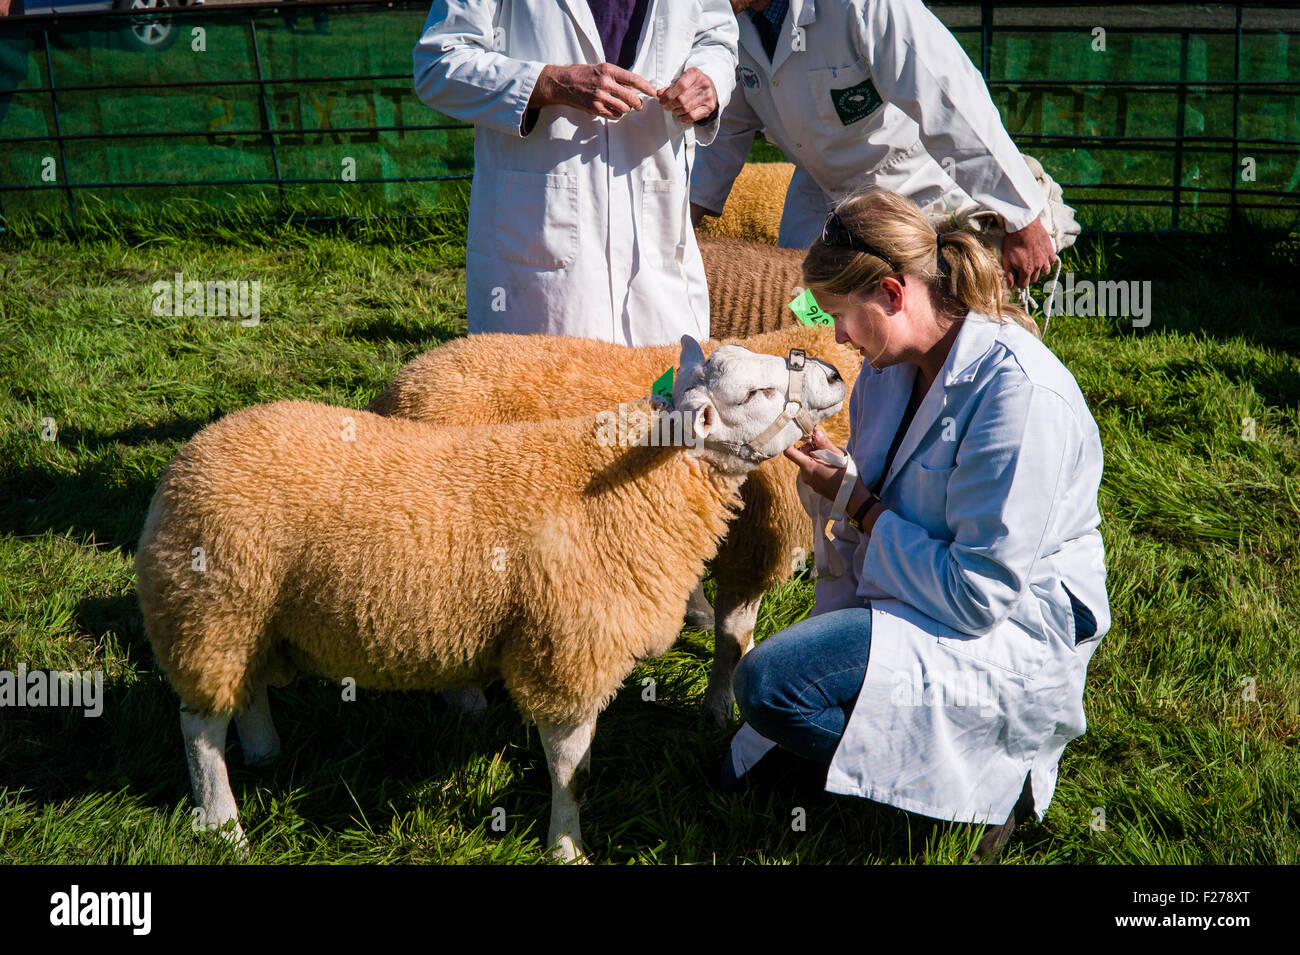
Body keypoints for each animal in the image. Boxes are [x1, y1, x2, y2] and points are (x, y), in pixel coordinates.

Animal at [367, 324, 862, 727]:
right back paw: (470, 707)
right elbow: (732, 642)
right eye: (754, 393)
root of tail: (395, 393)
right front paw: (719, 708)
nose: (833, 375)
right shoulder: (749, 551)